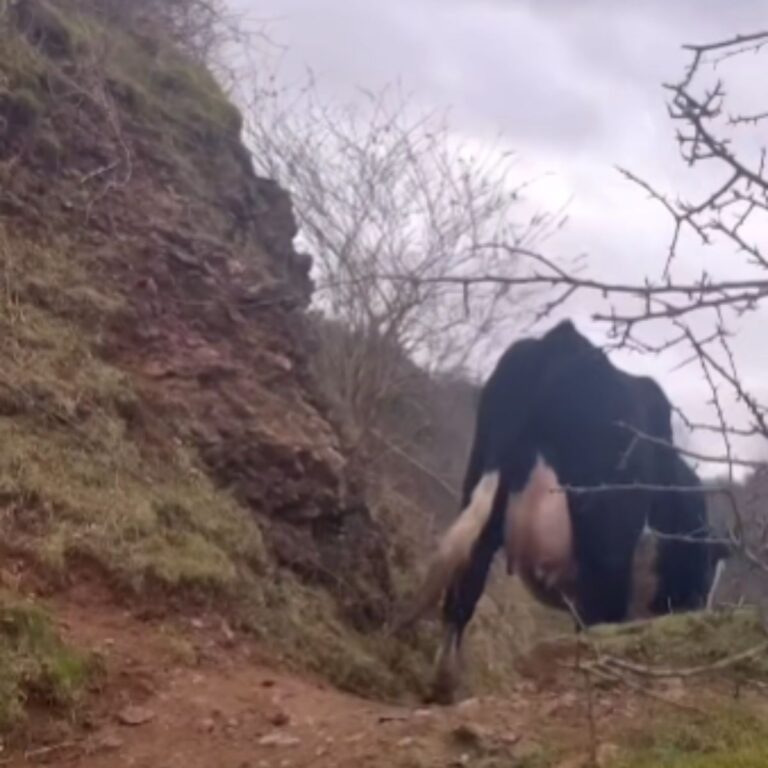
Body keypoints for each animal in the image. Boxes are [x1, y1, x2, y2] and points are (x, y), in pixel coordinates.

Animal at [397, 319, 729, 704]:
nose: (697, 605)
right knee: (596, 619)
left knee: (464, 589)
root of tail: (557, 344)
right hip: (605, 535)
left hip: (481, 491)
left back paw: (443, 684)